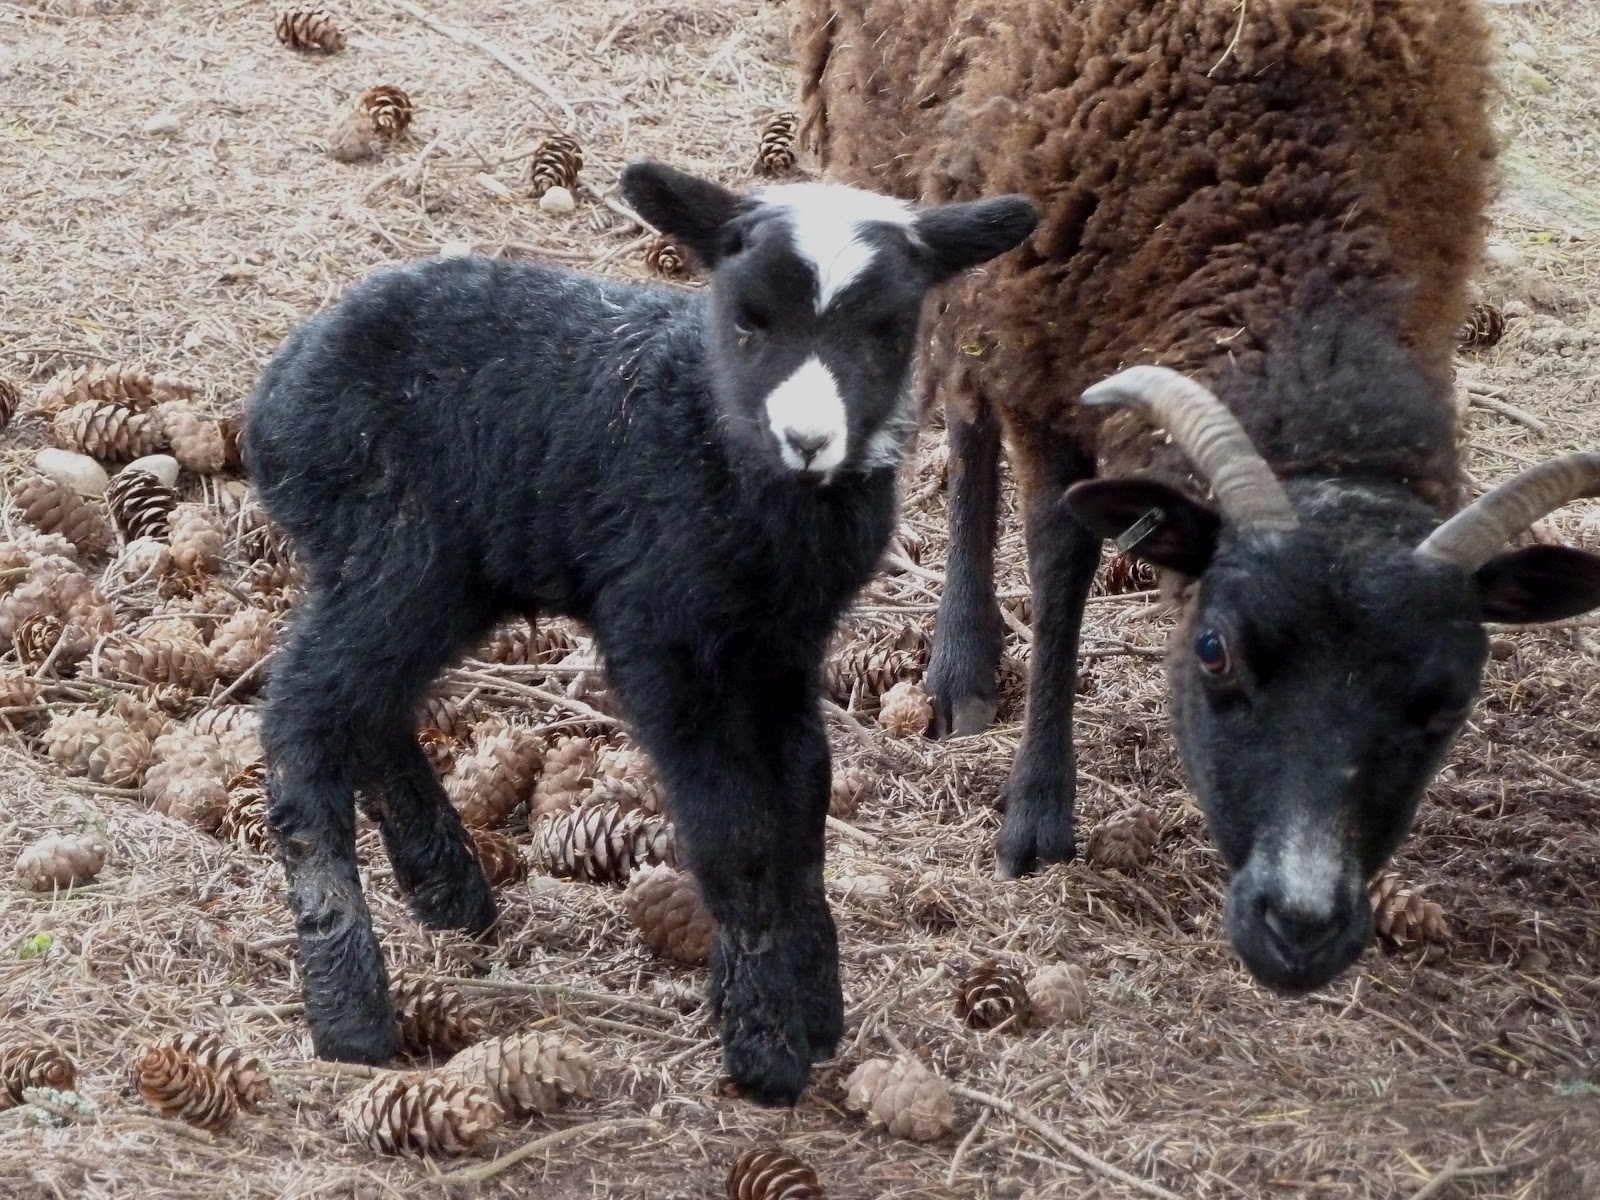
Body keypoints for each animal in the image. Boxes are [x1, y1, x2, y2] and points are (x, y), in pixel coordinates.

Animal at [241, 160, 1037, 1104]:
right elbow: (733, 828)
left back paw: (448, 888)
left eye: (887, 331)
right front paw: (764, 1045)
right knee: (306, 714)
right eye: (746, 319)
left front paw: (814, 1002)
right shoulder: (663, 638)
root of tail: (272, 406)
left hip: (438, 574)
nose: (808, 439)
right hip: (397, 549)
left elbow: (802, 803)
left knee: (367, 705)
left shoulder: (784, 647)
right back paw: (350, 1007)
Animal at [794, 0, 1600, 993]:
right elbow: (1061, 568)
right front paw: (1037, 817)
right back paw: (963, 668)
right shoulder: (1042, 350)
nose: (1300, 933)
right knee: (965, 410)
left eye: (1449, 699)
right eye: (1213, 651)